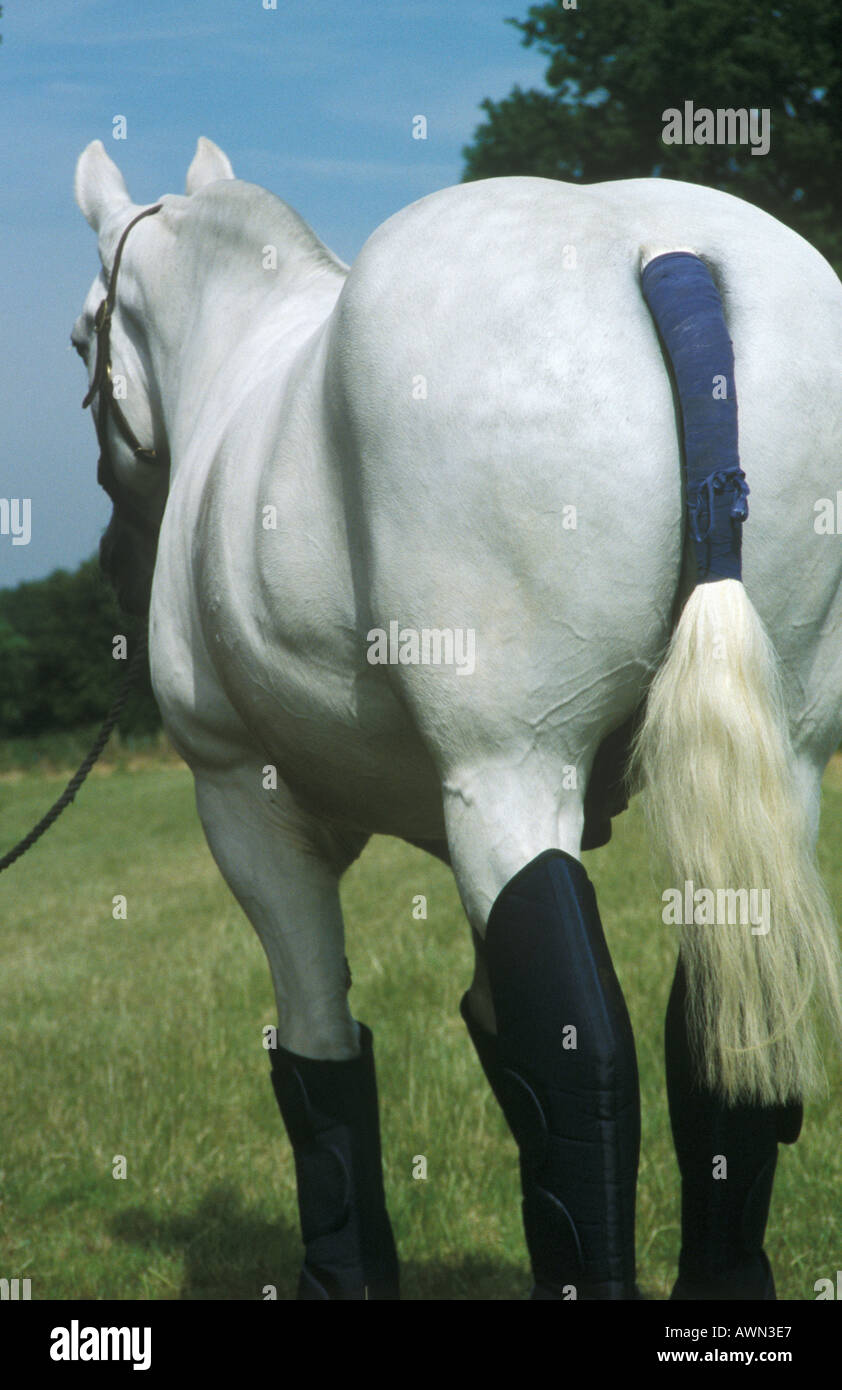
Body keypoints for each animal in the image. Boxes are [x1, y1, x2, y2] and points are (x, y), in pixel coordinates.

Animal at [72, 136, 842, 1300]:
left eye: (84, 334)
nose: (118, 560)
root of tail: (668, 256)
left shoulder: (247, 801)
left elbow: (319, 1053)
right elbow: (496, 1021)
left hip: (509, 765)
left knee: (587, 1058)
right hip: (772, 770)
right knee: (725, 1026)